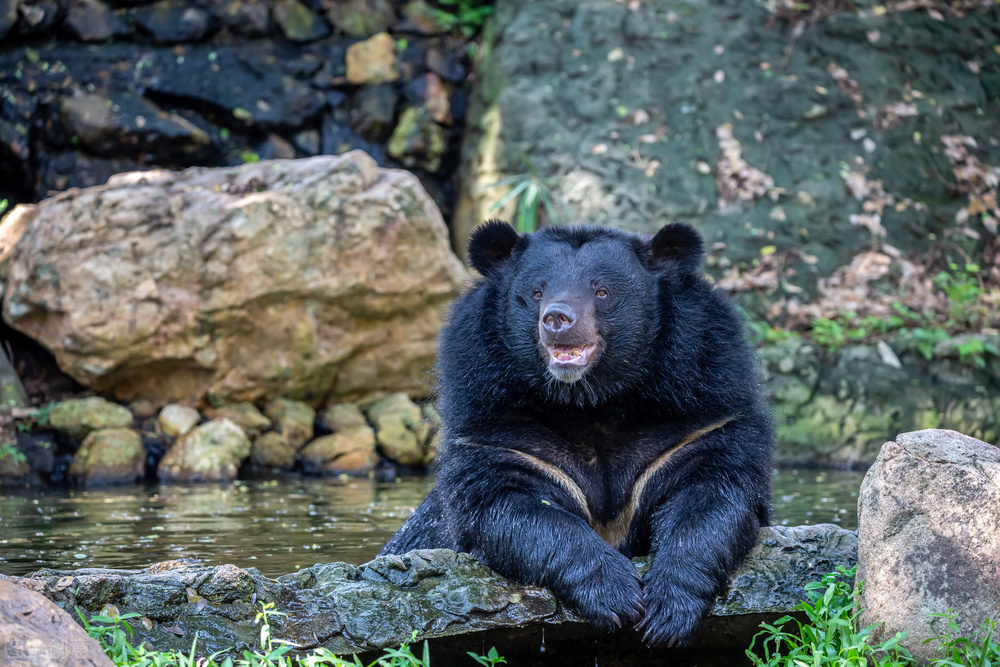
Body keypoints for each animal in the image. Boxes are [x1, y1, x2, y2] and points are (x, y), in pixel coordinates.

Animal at [380, 220, 773, 646]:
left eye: (602, 291)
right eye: (537, 292)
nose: (557, 319)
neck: (590, 402)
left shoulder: (699, 417)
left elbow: (711, 495)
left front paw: (667, 613)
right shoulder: (497, 430)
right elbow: (512, 507)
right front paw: (616, 596)